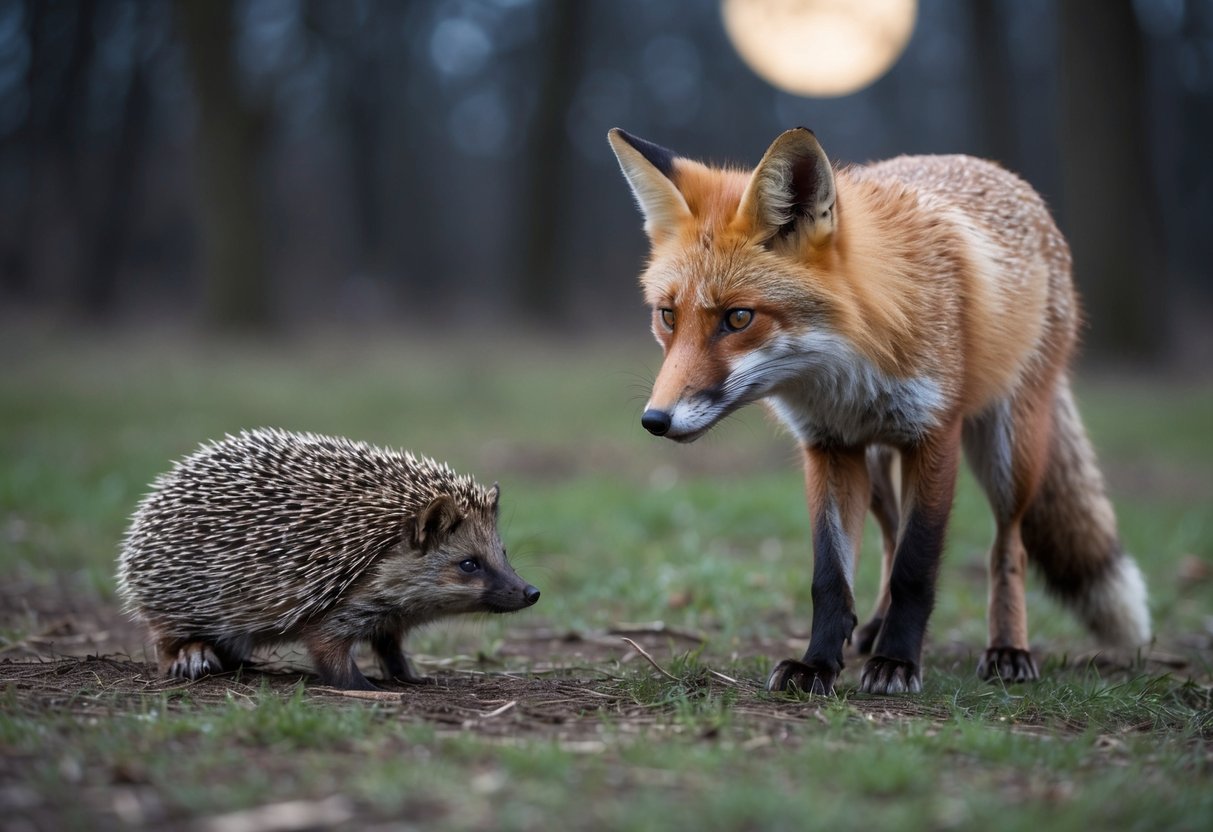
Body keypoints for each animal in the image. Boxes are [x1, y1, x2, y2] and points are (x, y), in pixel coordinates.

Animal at [607, 126, 1151, 695]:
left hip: (1010, 452)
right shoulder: (829, 447)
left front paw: (897, 662)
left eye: (738, 318)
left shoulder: (934, 437)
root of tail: (1001, 173)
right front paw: (818, 665)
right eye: (668, 316)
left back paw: (1006, 649)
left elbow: (918, 566)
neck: (845, 374)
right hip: (875, 464)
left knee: (1009, 547)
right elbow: (831, 578)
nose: (655, 421)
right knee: (890, 538)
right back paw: (874, 627)